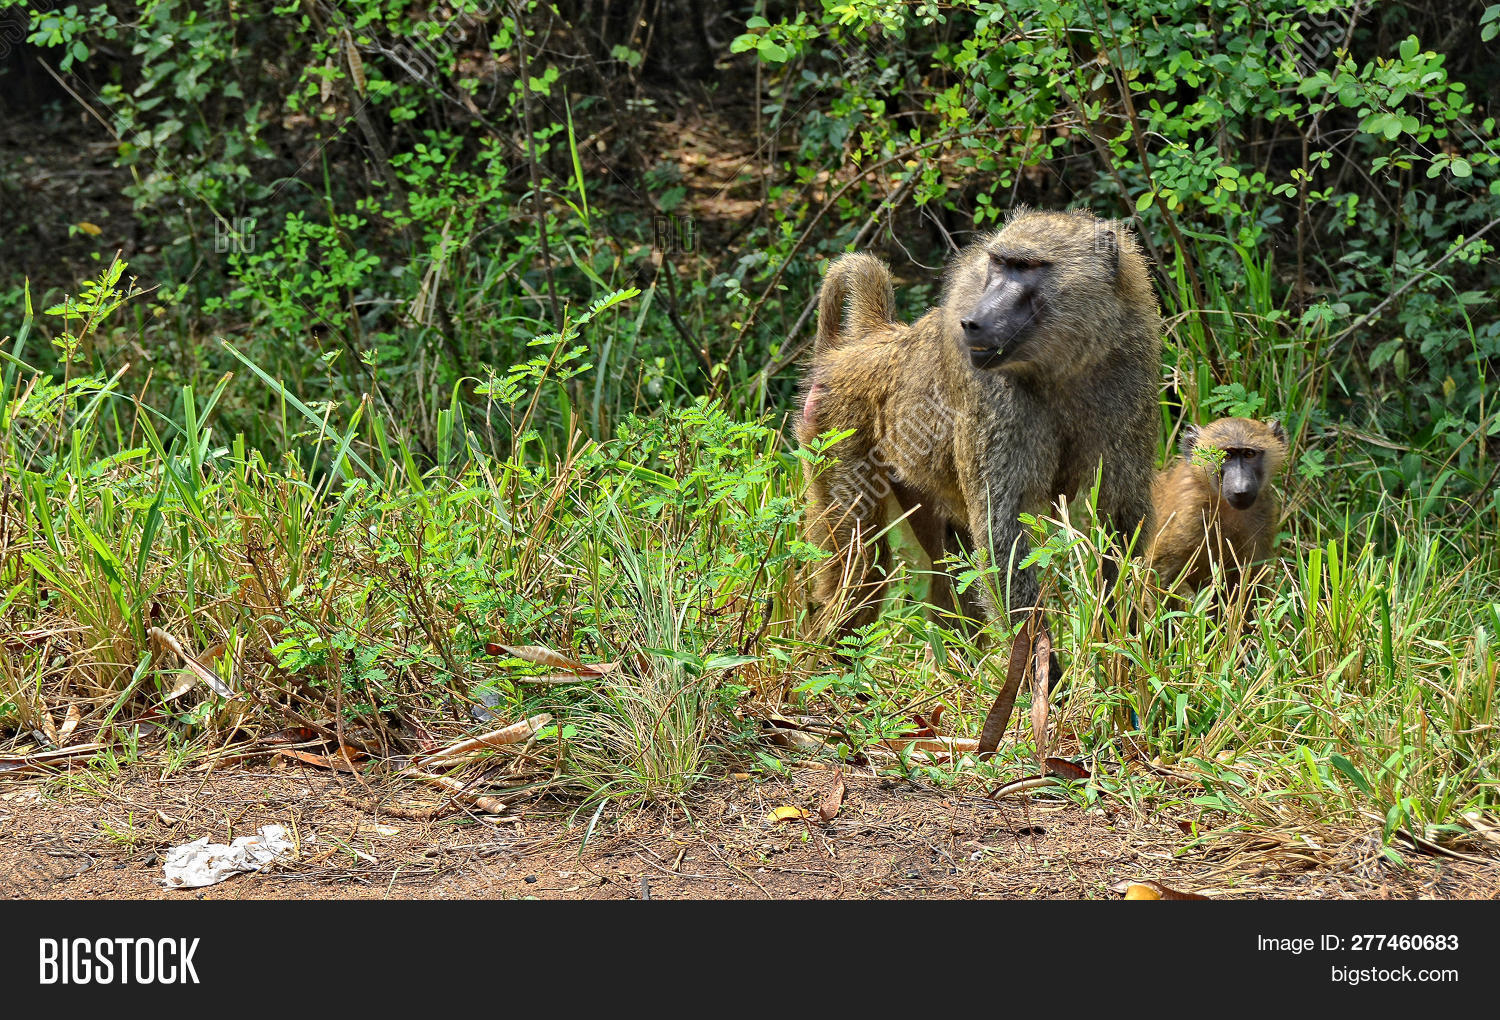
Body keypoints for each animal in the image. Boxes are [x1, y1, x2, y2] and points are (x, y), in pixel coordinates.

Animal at [796, 207, 1162, 651]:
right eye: (999, 264)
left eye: (1028, 267)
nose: (972, 322)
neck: (1062, 365)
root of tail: (867, 346)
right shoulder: (992, 397)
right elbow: (1000, 537)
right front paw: (1044, 668)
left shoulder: (1128, 368)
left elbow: (1121, 519)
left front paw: (1125, 646)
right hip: (833, 434)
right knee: (862, 571)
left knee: (944, 571)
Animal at [1147, 417, 1289, 593]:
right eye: (1227, 456)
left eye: (1249, 454)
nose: (1241, 489)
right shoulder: (1190, 511)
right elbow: (1158, 574)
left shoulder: (1264, 514)